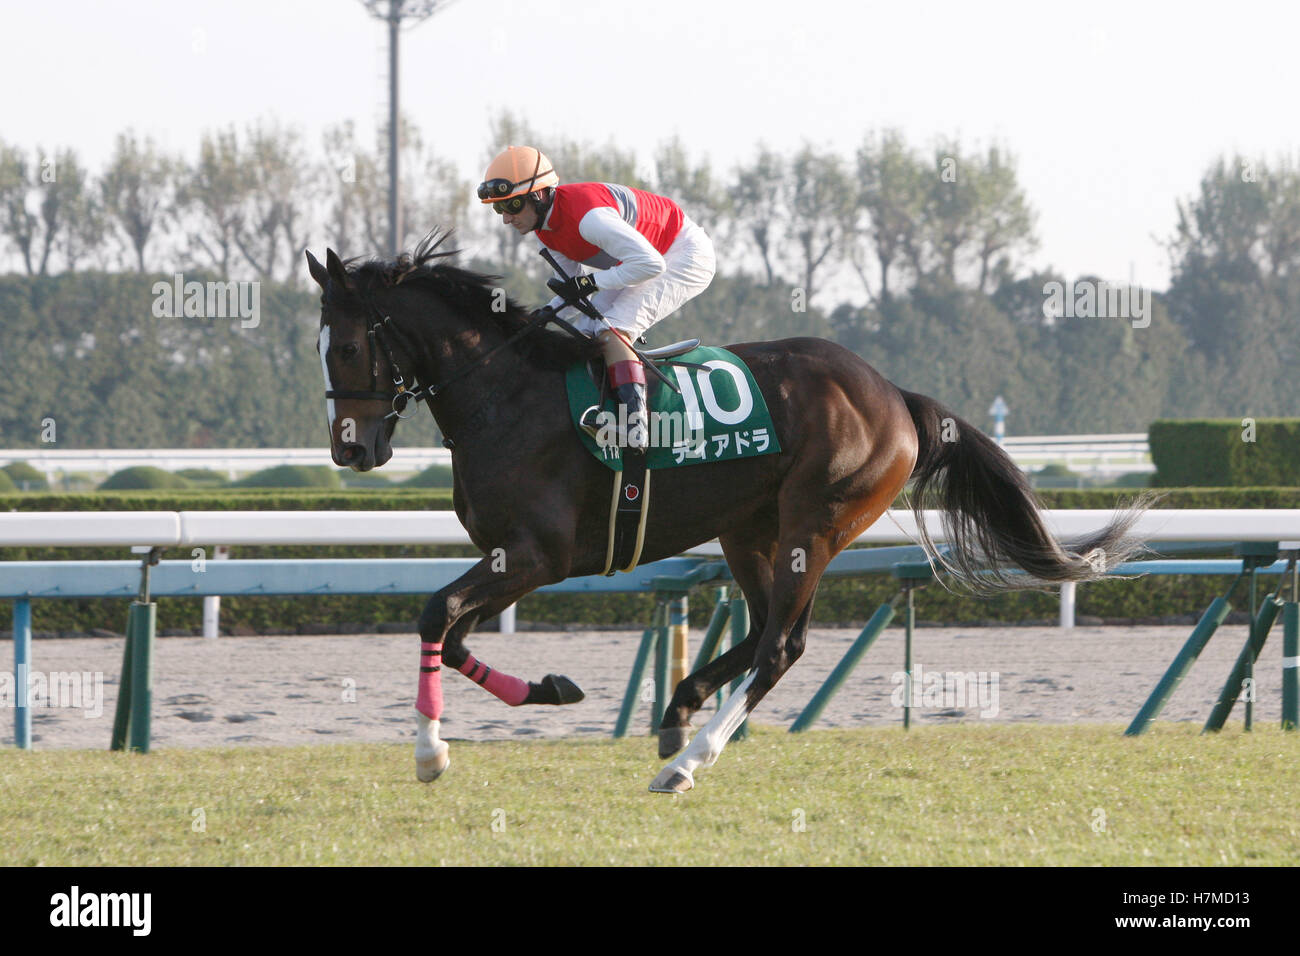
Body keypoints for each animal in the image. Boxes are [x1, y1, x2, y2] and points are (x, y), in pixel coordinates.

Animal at [306, 231, 1144, 793]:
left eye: (344, 348)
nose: (351, 448)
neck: (507, 394)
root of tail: (895, 394)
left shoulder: (537, 555)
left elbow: (435, 614)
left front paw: (429, 754)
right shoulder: (512, 561)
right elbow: (452, 636)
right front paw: (551, 689)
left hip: (818, 520)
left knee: (781, 646)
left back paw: (688, 761)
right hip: (749, 529)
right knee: (767, 629)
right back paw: (680, 710)